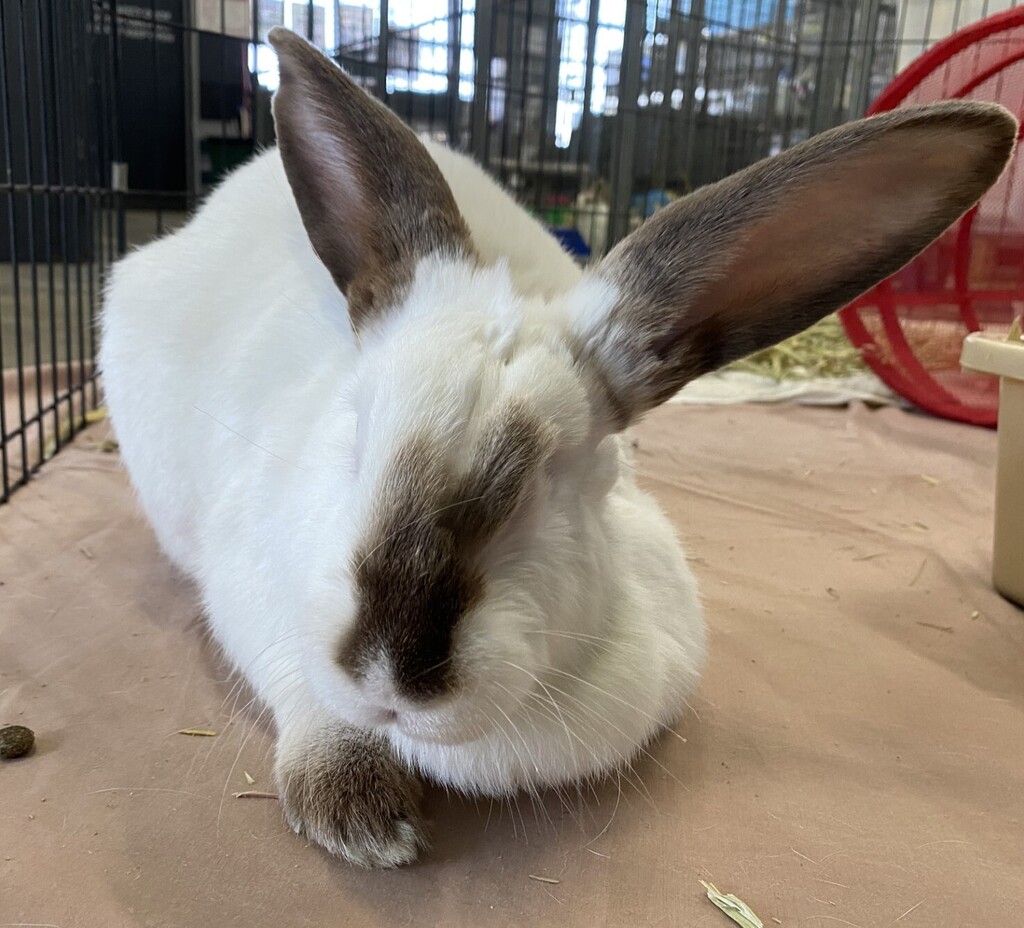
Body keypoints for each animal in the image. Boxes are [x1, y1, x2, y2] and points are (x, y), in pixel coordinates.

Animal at [99, 26, 1017, 868]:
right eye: (356, 431)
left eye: (559, 474)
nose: (390, 673)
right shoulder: (249, 592)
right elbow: (309, 697)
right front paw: (364, 819)